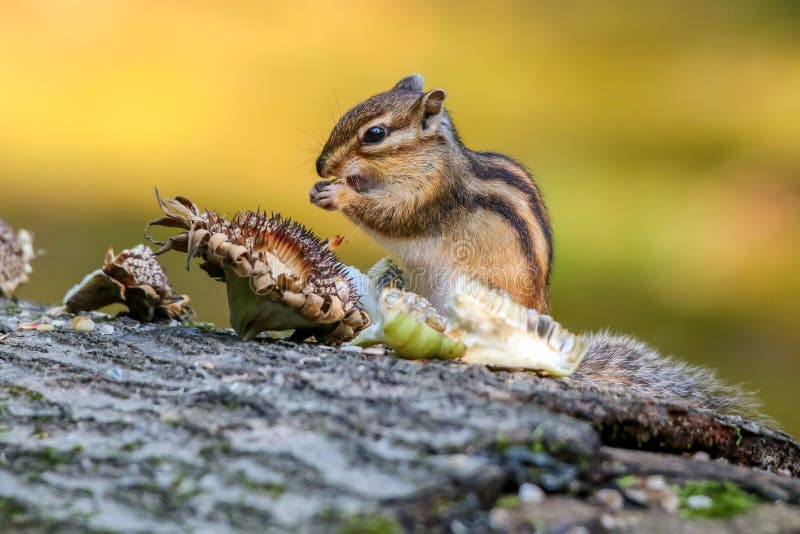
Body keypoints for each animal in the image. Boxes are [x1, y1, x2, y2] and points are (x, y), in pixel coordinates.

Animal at [310, 74, 763, 420]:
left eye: (375, 134)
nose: (321, 165)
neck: (424, 159)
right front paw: (325, 187)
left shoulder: (431, 196)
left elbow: (392, 217)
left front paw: (339, 195)